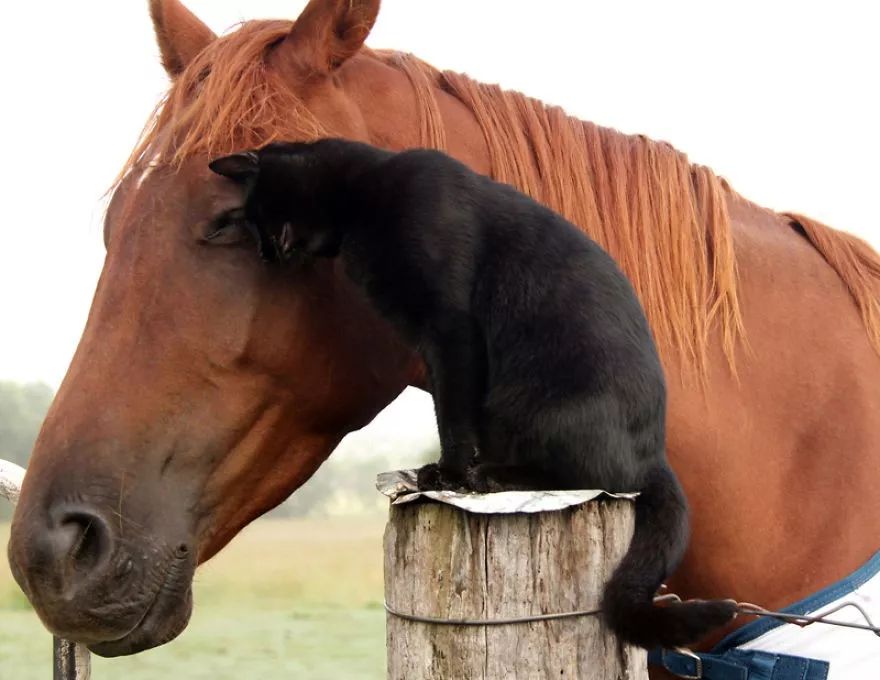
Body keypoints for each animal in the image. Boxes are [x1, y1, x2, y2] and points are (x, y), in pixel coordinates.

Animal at [8, 0, 880, 673]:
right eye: (114, 226)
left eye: (221, 224)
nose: (51, 550)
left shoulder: (452, 332)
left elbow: (455, 418)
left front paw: (446, 475)